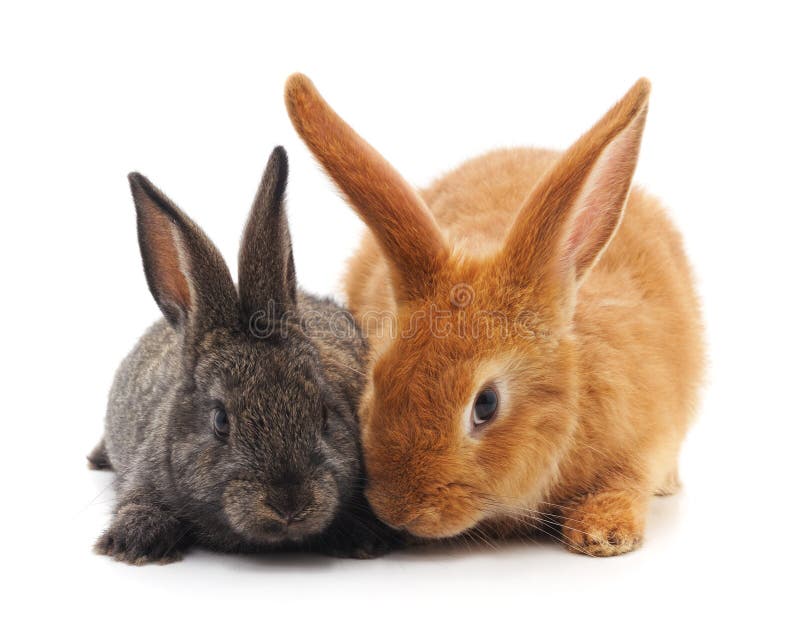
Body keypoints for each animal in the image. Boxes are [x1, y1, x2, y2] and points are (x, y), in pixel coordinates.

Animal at [284, 75, 704, 557]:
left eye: (485, 404)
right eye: (377, 380)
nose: (400, 511)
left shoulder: (646, 438)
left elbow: (625, 482)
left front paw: (603, 534)